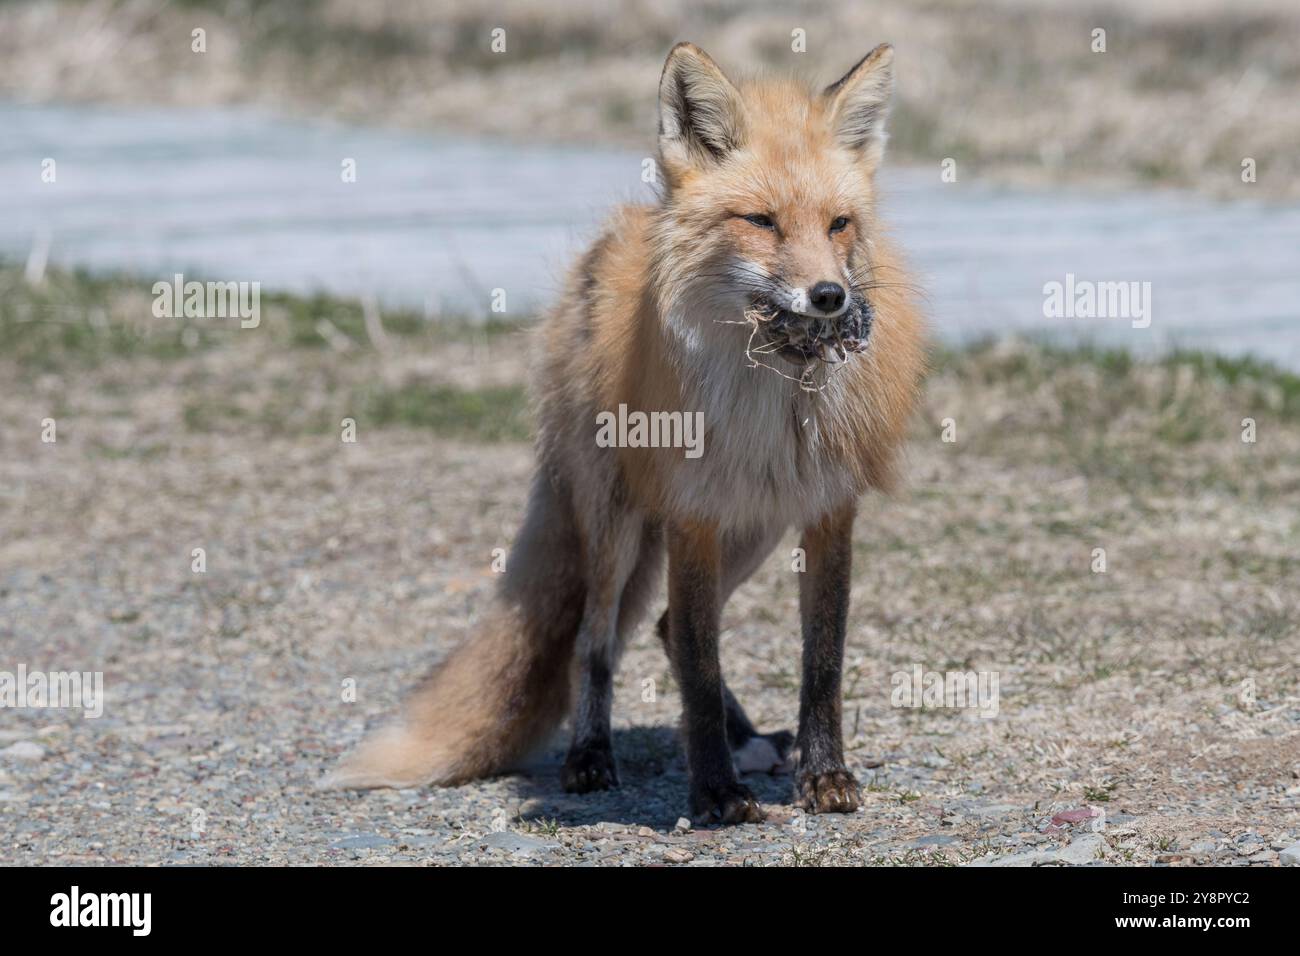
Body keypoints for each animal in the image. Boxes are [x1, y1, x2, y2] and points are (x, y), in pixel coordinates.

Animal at [323, 41, 926, 823]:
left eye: (839, 224)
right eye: (762, 221)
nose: (830, 298)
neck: (772, 397)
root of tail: (611, 240)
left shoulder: (826, 510)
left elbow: (821, 658)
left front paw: (824, 776)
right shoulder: (692, 514)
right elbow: (697, 662)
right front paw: (715, 793)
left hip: (755, 524)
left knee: (663, 624)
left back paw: (750, 740)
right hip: (619, 523)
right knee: (596, 638)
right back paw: (592, 756)